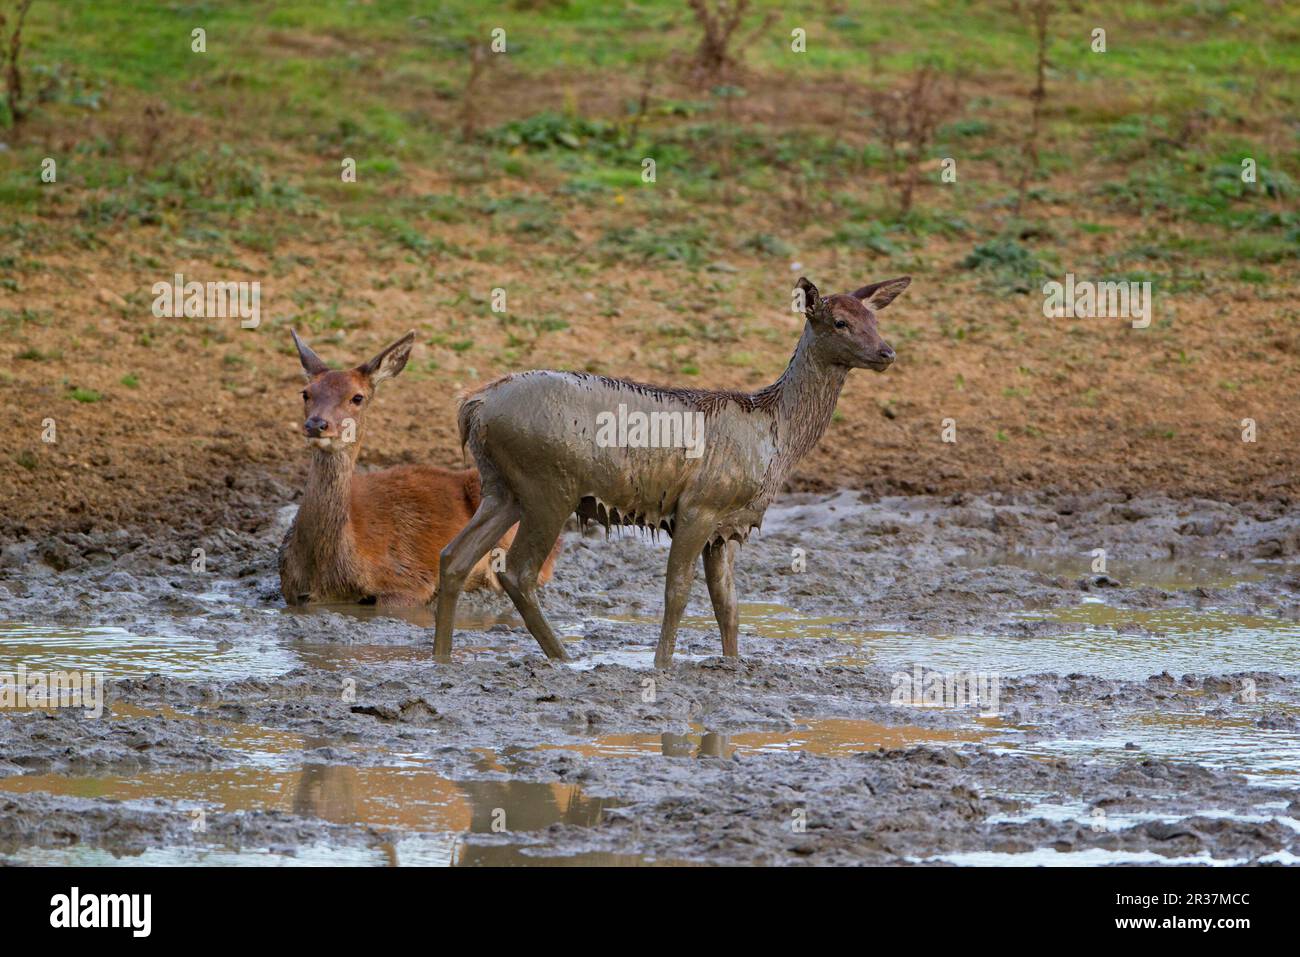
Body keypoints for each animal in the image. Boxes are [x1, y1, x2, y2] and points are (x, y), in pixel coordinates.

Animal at [433, 276, 909, 666]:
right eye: (840, 322)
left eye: (874, 318)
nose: (887, 352)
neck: (775, 437)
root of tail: (473, 406)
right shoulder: (699, 505)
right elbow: (677, 592)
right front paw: (661, 666)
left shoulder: (727, 524)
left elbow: (728, 603)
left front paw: (733, 664)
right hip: (548, 484)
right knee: (517, 571)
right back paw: (564, 658)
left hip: (502, 486)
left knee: (455, 555)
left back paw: (442, 658)